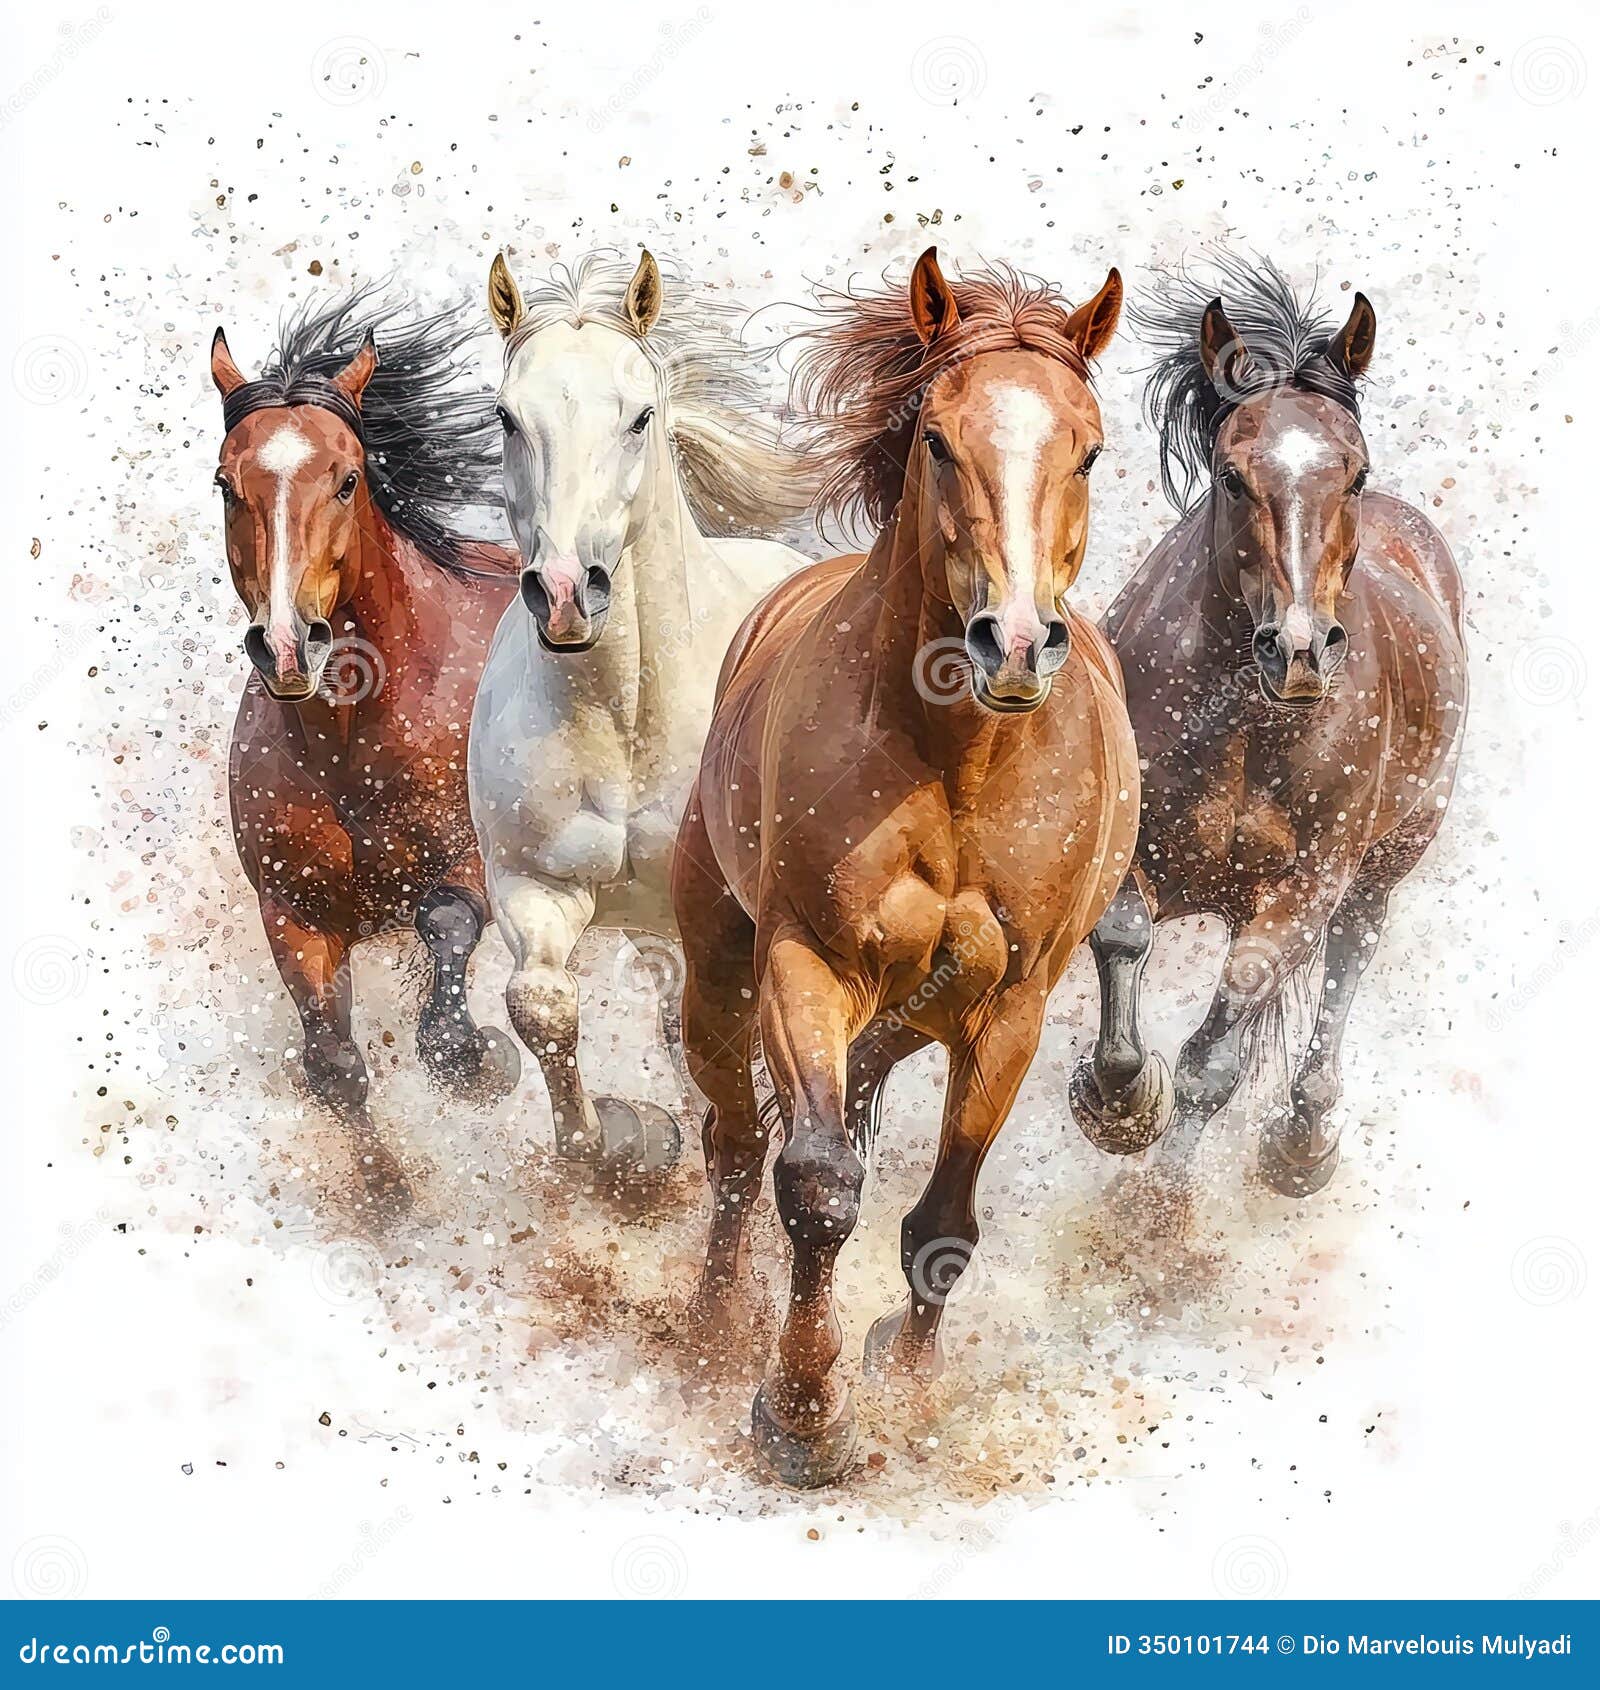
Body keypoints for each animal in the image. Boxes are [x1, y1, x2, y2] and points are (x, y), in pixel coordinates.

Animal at [212, 292, 522, 1197]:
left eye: (347, 478)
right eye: (224, 484)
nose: (289, 646)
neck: (354, 743)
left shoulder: (471, 864)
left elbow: (447, 961)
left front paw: (485, 1063)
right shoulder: (295, 914)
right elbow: (333, 1063)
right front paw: (388, 1200)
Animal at [468, 249, 815, 1178]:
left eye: (639, 417)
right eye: (507, 417)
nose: (564, 592)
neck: (625, 719)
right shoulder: (532, 883)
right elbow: (541, 1004)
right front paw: (615, 1153)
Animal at [673, 248, 1135, 1486]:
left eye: (1089, 446)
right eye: (936, 436)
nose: (1012, 642)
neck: (957, 758)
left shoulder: (1011, 1004)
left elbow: (942, 1225)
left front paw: (905, 1376)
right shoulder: (805, 961)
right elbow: (816, 1182)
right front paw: (800, 1413)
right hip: (715, 963)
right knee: (735, 1147)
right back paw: (711, 1324)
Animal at [1068, 254, 1467, 1199]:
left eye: (1353, 471)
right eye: (1231, 474)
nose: (1298, 649)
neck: (1245, 732)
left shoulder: (1304, 891)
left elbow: (1225, 1040)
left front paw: (1158, 1192)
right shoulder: (1133, 848)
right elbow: (1123, 934)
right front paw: (1117, 1100)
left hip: (1382, 868)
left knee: (1347, 963)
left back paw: (1302, 1139)